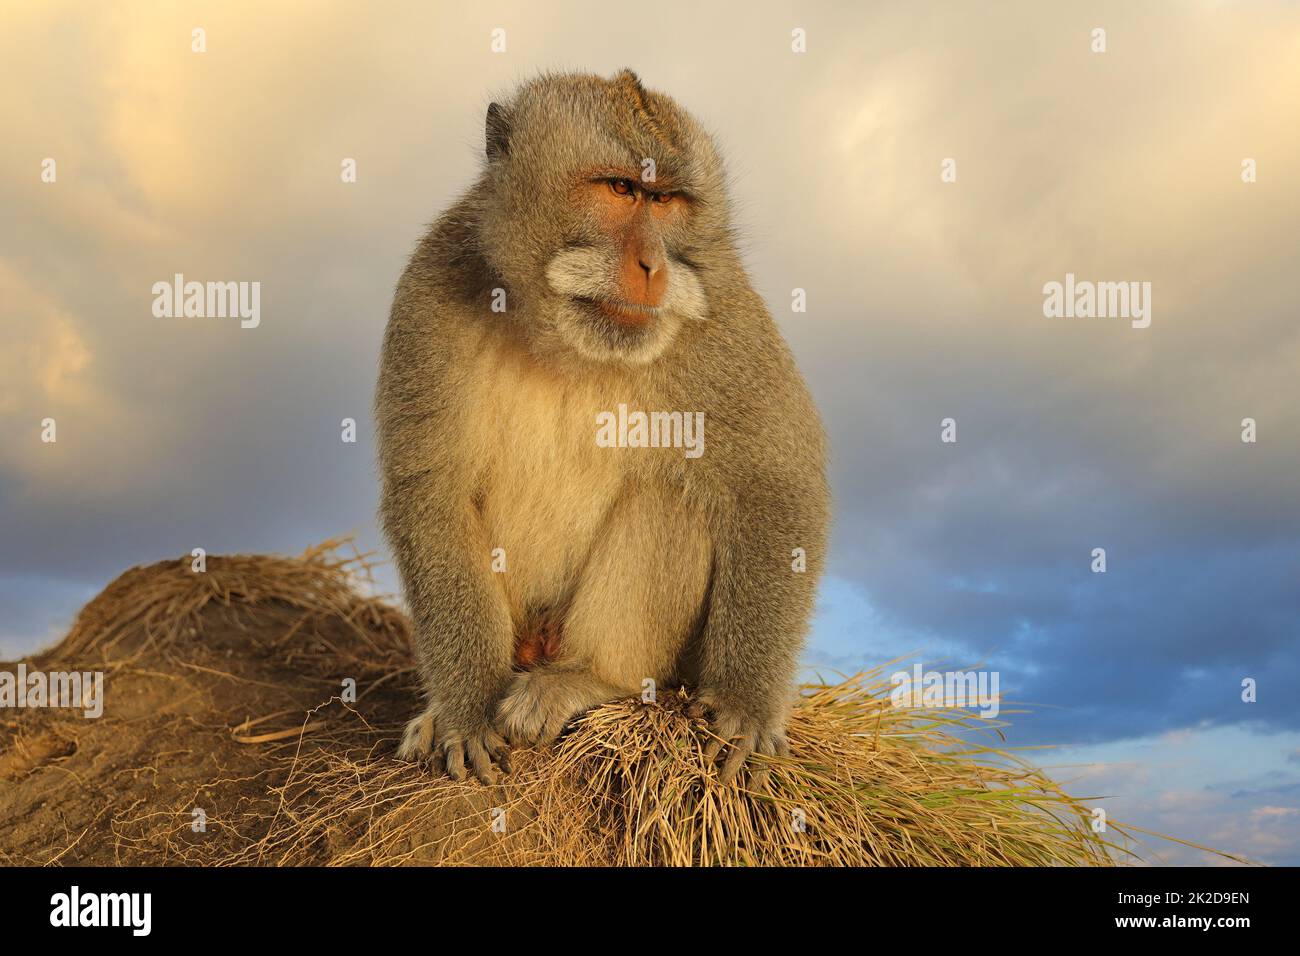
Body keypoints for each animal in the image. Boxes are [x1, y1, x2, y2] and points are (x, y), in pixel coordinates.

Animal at [376, 69, 829, 786]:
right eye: (620, 190)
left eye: (666, 200)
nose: (653, 266)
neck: (564, 340)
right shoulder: (431, 287)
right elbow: (432, 490)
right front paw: (467, 707)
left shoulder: (723, 310)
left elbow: (773, 486)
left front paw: (744, 703)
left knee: (675, 494)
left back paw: (592, 679)